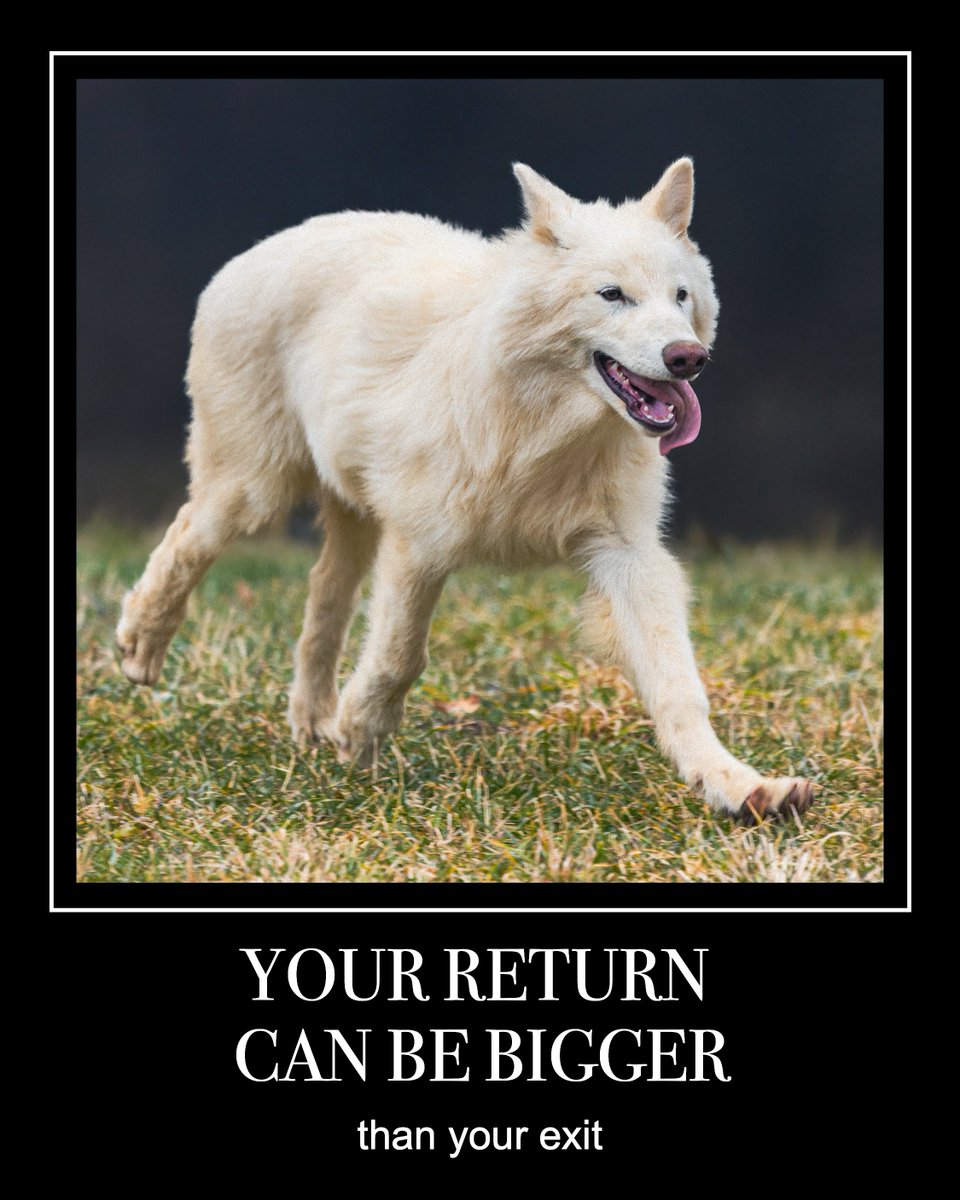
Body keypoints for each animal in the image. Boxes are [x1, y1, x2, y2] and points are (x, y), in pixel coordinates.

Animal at [116, 159, 813, 823]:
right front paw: (360, 736)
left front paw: (741, 787)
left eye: (680, 296)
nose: (687, 357)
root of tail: (267, 245)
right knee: (185, 539)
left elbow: (680, 689)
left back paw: (310, 722)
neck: (541, 430)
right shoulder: (420, 546)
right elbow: (401, 655)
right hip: (253, 494)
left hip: (350, 519)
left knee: (321, 597)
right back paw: (141, 646)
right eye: (613, 295)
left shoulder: (629, 556)